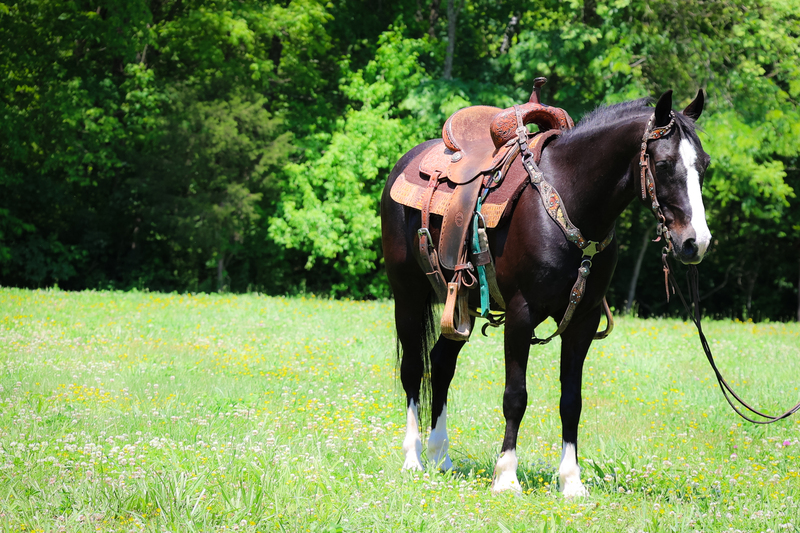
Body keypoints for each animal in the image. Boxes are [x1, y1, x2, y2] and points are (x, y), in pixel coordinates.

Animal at [379, 89, 711, 496]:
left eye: (704, 165)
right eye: (663, 164)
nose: (696, 242)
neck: (568, 201)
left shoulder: (583, 321)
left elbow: (571, 401)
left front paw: (571, 481)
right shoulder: (521, 316)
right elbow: (515, 396)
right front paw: (506, 476)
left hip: (460, 308)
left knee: (441, 364)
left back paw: (441, 457)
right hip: (407, 296)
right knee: (413, 369)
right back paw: (413, 458)